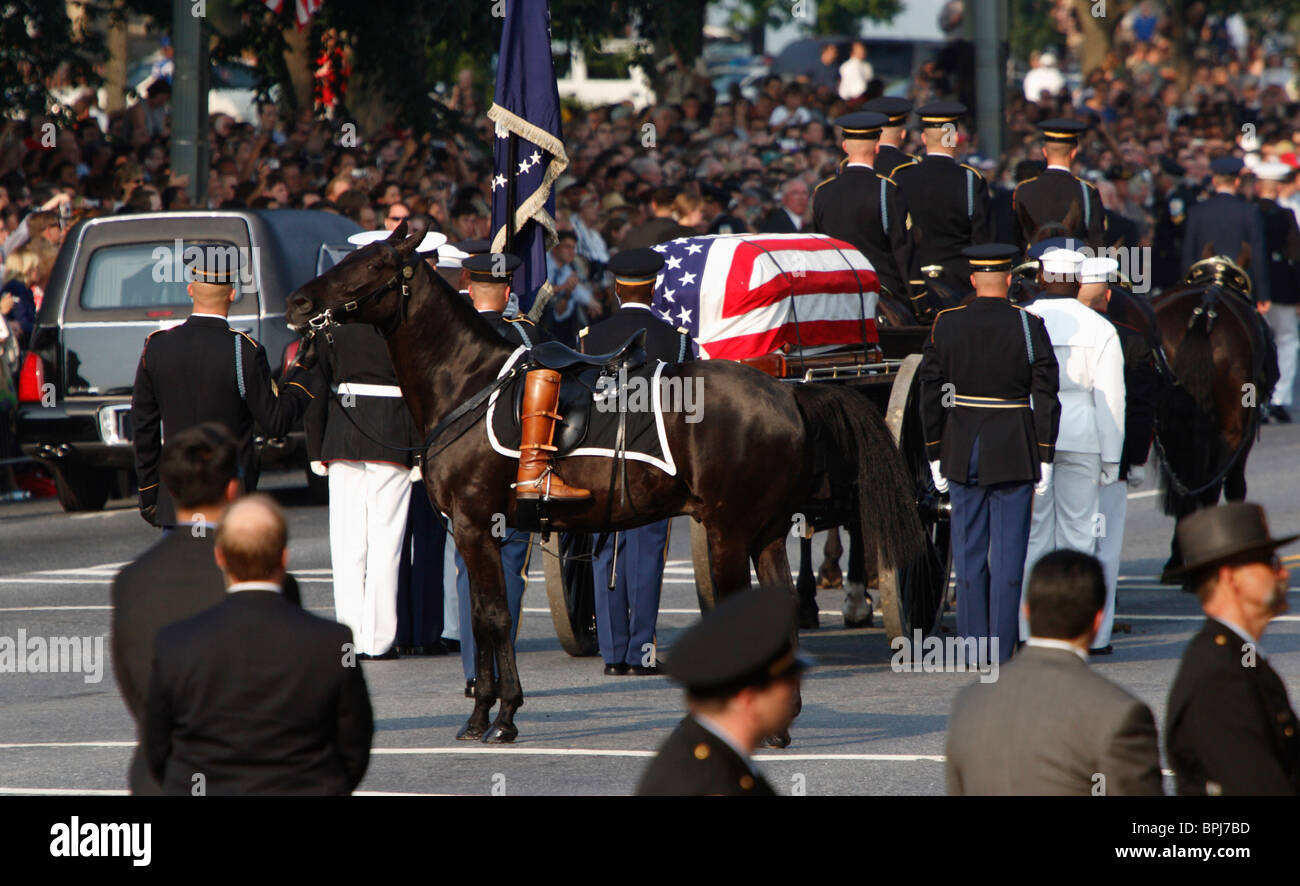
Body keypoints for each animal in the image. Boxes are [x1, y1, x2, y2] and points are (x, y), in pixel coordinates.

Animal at [284, 224, 925, 743]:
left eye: (372, 264)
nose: (297, 301)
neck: (466, 383)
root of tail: (787, 390)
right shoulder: (474, 535)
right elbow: (482, 617)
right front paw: (484, 712)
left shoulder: (474, 528)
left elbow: (492, 617)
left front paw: (501, 715)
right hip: (762, 533)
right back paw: (779, 720)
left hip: (727, 532)